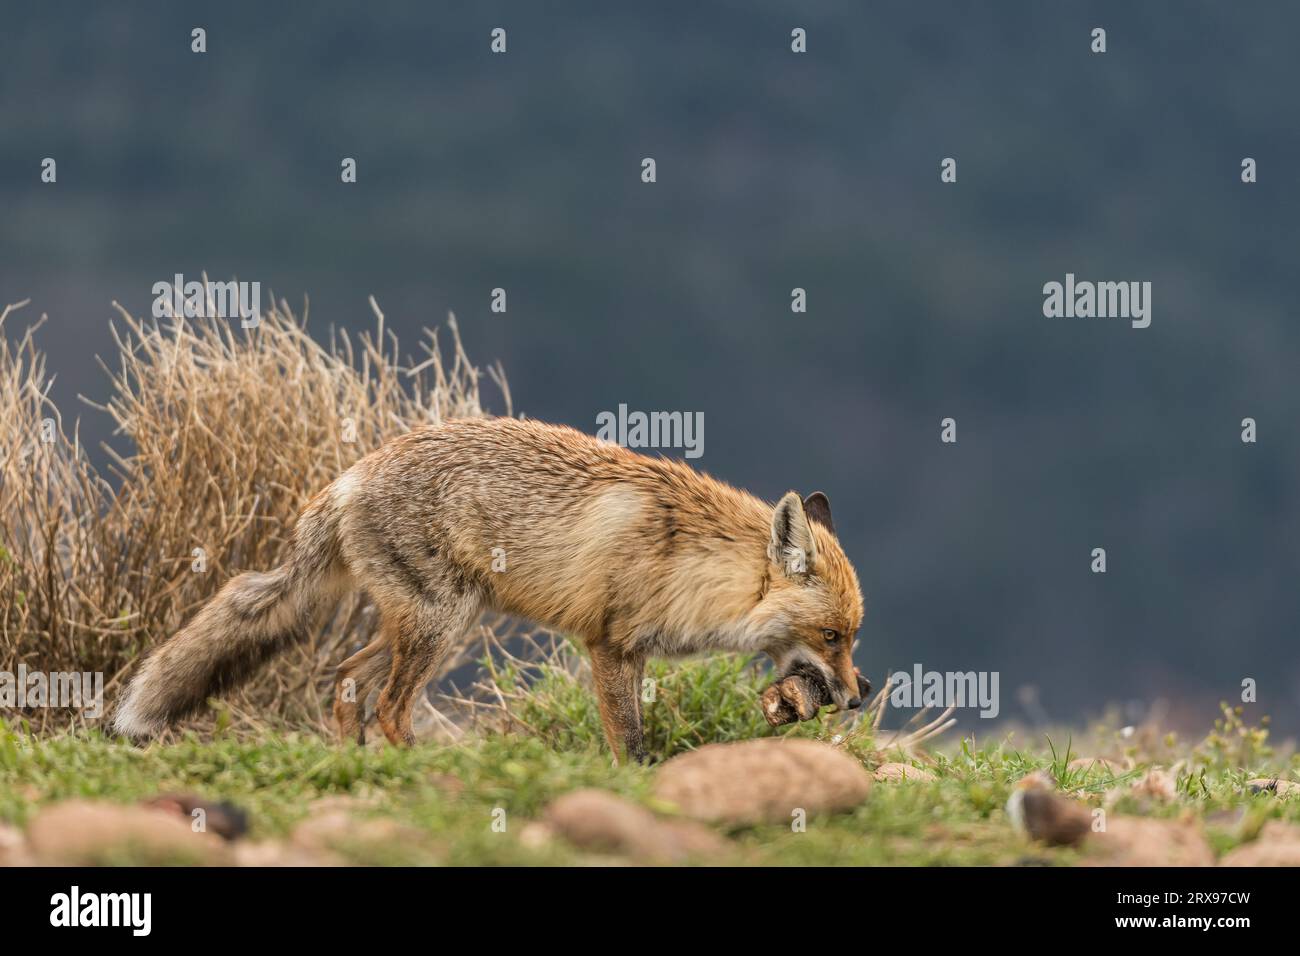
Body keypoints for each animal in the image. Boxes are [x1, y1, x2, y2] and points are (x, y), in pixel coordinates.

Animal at [113, 416, 868, 762]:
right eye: (830, 635)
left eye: (854, 637)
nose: (860, 696)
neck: (688, 554)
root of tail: (349, 477)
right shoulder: (609, 645)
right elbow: (629, 738)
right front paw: (635, 783)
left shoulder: (633, 652)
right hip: (438, 627)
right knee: (389, 707)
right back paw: (412, 771)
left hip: (423, 626)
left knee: (346, 679)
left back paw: (352, 765)